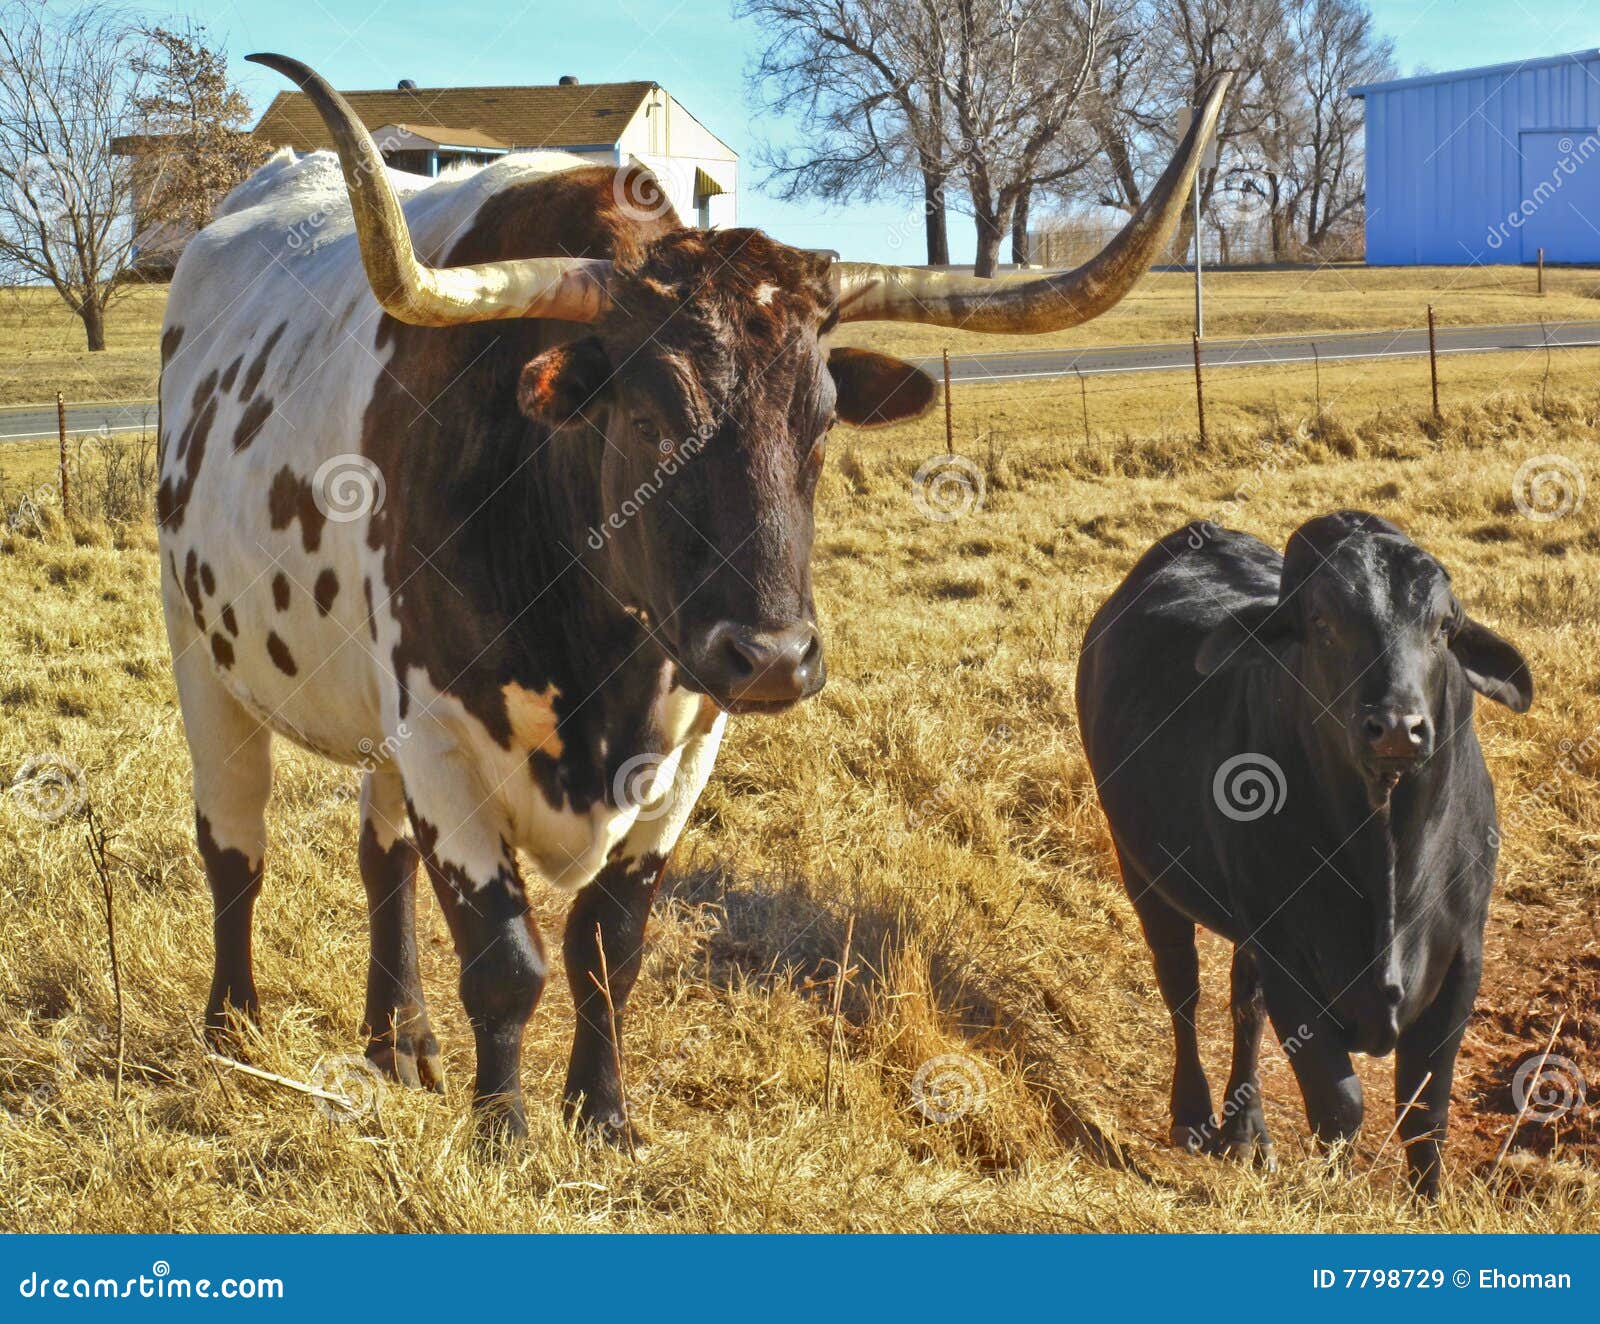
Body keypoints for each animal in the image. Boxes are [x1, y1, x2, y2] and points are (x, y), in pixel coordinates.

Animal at [158, 53, 1229, 1143]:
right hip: (201, 653)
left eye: (821, 421)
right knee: (235, 847)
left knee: (383, 862)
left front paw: (601, 1113)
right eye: (646, 419)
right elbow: (505, 961)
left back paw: (399, 1040)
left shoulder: (684, 750)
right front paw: (503, 1130)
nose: (775, 657)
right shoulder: (437, 734)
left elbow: (607, 947)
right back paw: (233, 1029)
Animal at [1075, 511, 1533, 1194]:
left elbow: (1425, 1112)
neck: (1388, 856)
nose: (1397, 728)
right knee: (1182, 989)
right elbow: (1339, 1104)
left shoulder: (1461, 958)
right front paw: (1334, 1192)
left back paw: (1245, 1132)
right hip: (1143, 871)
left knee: (1244, 1003)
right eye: (1322, 624)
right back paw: (1194, 1116)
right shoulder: (1289, 956)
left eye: (1443, 626)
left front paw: (1427, 1199)